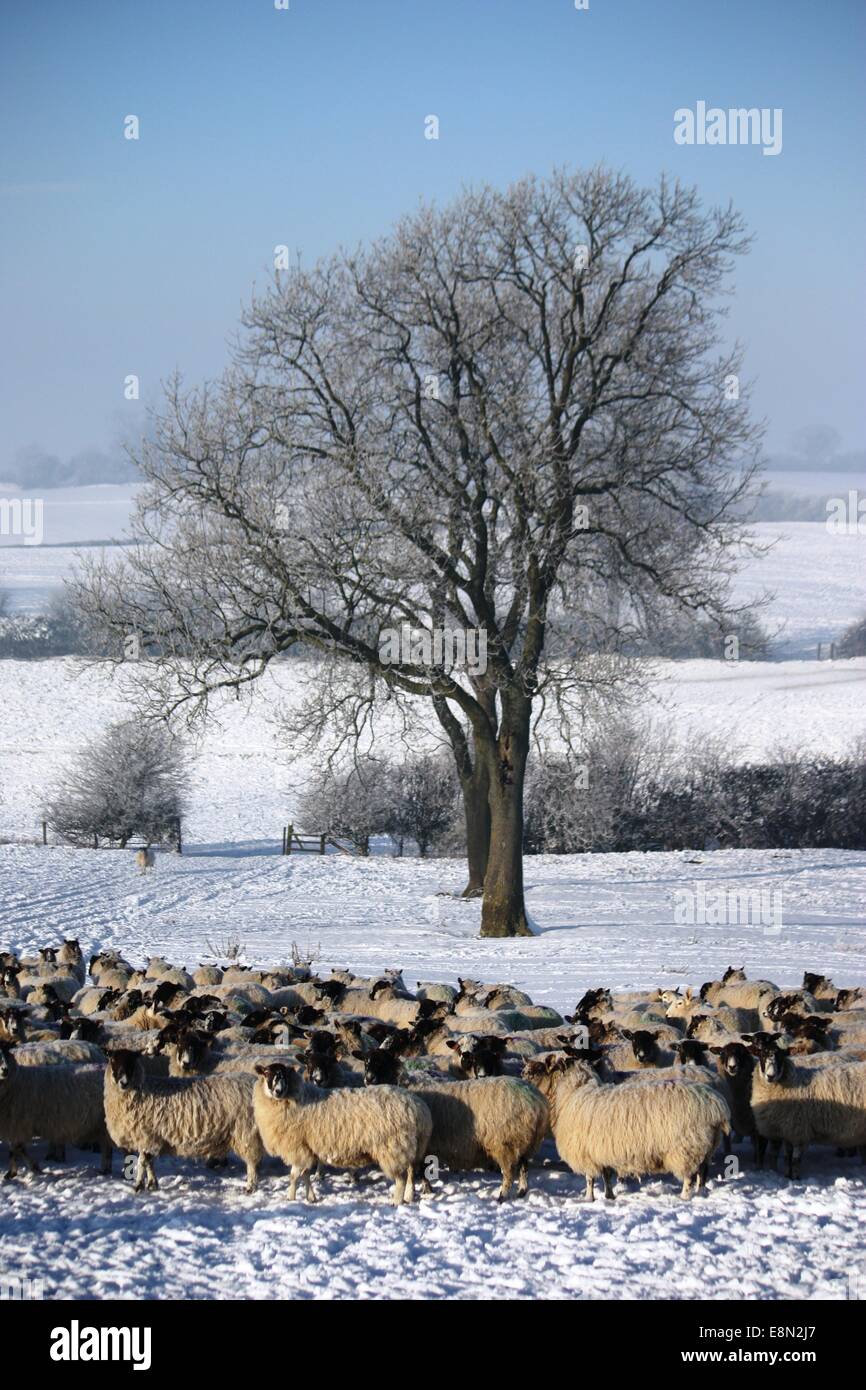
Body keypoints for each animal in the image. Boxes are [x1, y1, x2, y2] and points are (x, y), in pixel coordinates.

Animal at [0, 1047, 110, 1180]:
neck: (15, 1080)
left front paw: (20, 1170)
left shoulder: (19, 1124)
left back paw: (105, 1170)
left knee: (107, 1148)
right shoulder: (15, 1125)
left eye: (5, 1052)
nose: (5, 1070)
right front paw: (22, 1170)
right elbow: (17, 1149)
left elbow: (16, 1149)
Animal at [104, 1049, 263, 1193]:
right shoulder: (151, 1138)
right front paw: (152, 1184)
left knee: (252, 1162)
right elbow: (149, 1162)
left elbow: (142, 1162)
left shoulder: (147, 1135)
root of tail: (253, 1082)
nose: (123, 1082)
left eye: (131, 1062)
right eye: (112, 1060)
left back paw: (250, 1187)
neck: (141, 1090)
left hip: (245, 1131)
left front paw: (138, 1186)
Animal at [253, 1061, 432, 1205]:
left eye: (285, 1076)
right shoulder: (306, 1149)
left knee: (401, 1178)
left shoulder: (298, 1147)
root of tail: (419, 1108)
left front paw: (290, 1199)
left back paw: (397, 1202)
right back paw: (408, 1197)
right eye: (266, 1073)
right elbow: (305, 1175)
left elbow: (293, 1176)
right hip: (411, 1147)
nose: (278, 1091)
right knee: (410, 1173)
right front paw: (311, 1198)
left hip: (394, 1147)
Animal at [523, 1052, 730, 1200]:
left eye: (536, 1070)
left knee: (690, 1175)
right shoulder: (601, 1150)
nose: (521, 1083)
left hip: (686, 1147)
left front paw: (588, 1198)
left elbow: (590, 1179)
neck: (573, 1092)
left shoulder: (585, 1151)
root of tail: (717, 1103)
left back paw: (685, 1196)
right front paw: (609, 1196)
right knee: (702, 1172)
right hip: (704, 1146)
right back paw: (700, 1193)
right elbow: (606, 1175)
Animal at [747, 1034, 866, 1178]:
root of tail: (852, 1057)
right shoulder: (787, 1130)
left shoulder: (799, 1130)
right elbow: (787, 1157)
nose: (770, 1076)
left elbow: (795, 1159)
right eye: (762, 1055)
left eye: (781, 1057)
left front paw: (795, 1178)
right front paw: (787, 1175)